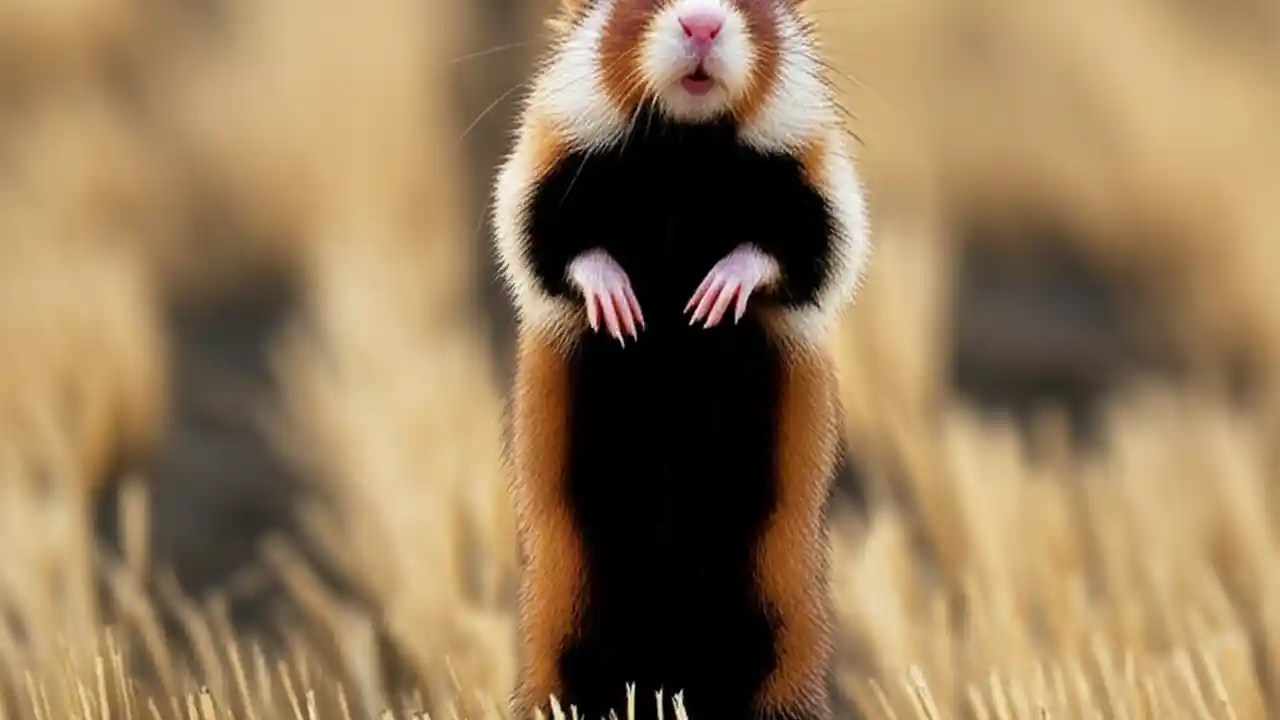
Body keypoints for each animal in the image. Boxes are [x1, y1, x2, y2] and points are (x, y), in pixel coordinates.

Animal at [492, 0, 870, 717]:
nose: (701, 24)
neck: (683, 152)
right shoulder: (538, 183)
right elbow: (563, 248)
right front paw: (624, 313)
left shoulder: (821, 197)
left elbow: (788, 251)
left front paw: (710, 301)